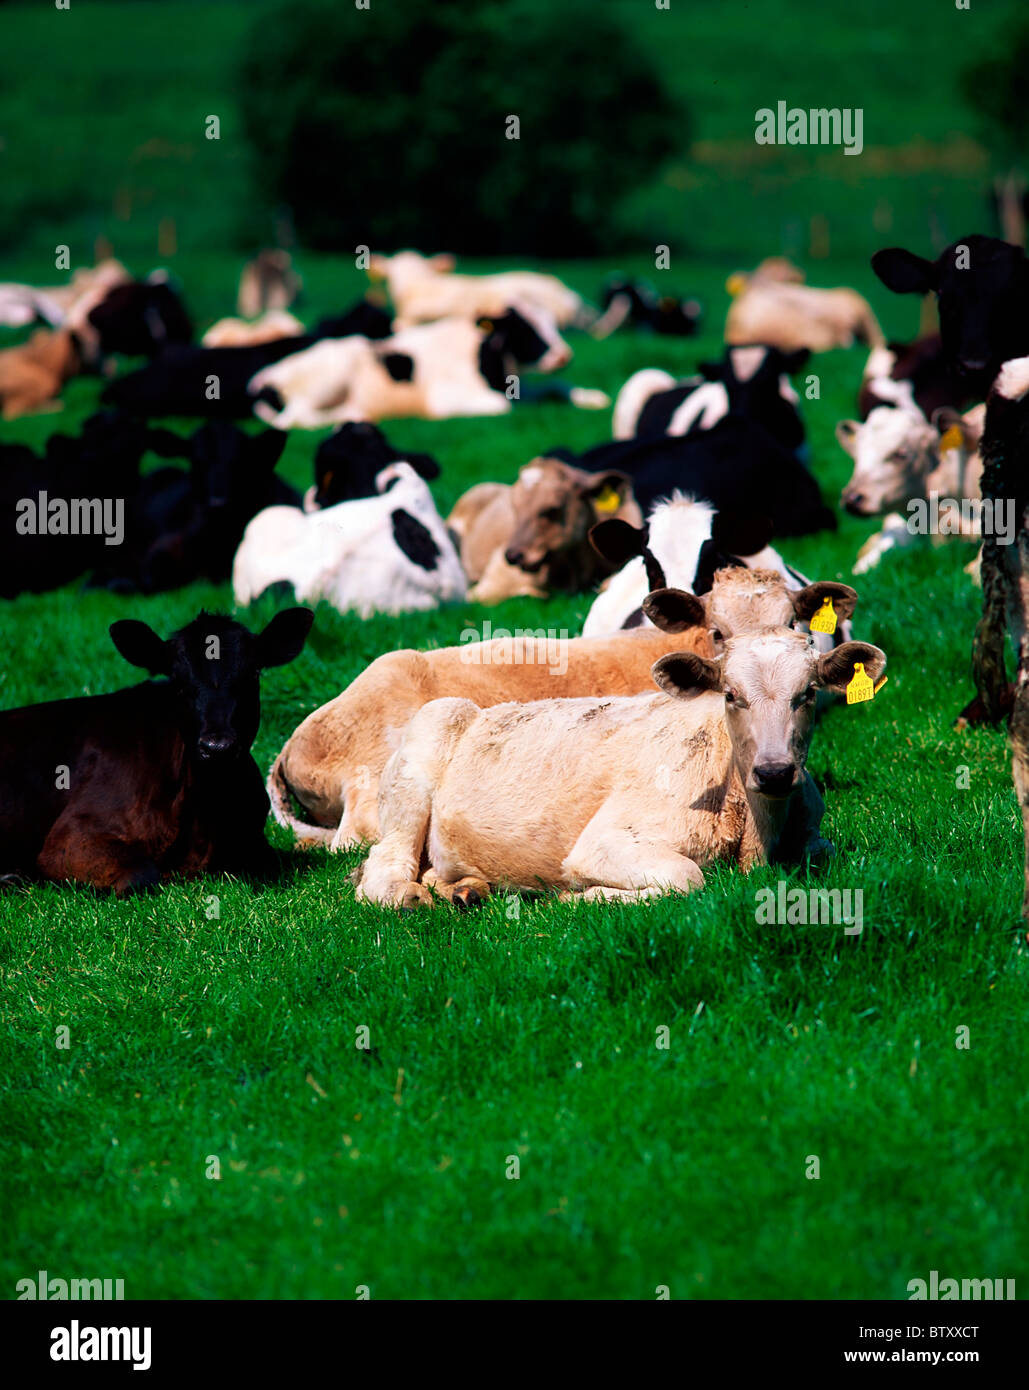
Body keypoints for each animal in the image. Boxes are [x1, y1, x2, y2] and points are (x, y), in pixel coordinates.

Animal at [248, 305, 576, 429]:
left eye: (552, 323)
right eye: (525, 328)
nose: (564, 355)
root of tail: (265, 376)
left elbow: (558, 387)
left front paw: (585, 397)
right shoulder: (443, 398)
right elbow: (502, 406)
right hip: (332, 372)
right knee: (293, 418)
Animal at [352, 626, 886, 908]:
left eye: (808, 694)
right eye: (731, 695)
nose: (775, 772)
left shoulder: (812, 831)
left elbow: (823, 851)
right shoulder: (606, 842)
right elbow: (688, 878)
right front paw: (579, 897)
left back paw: (465, 890)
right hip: (420, 759)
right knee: (383, 868)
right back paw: (409, 896)